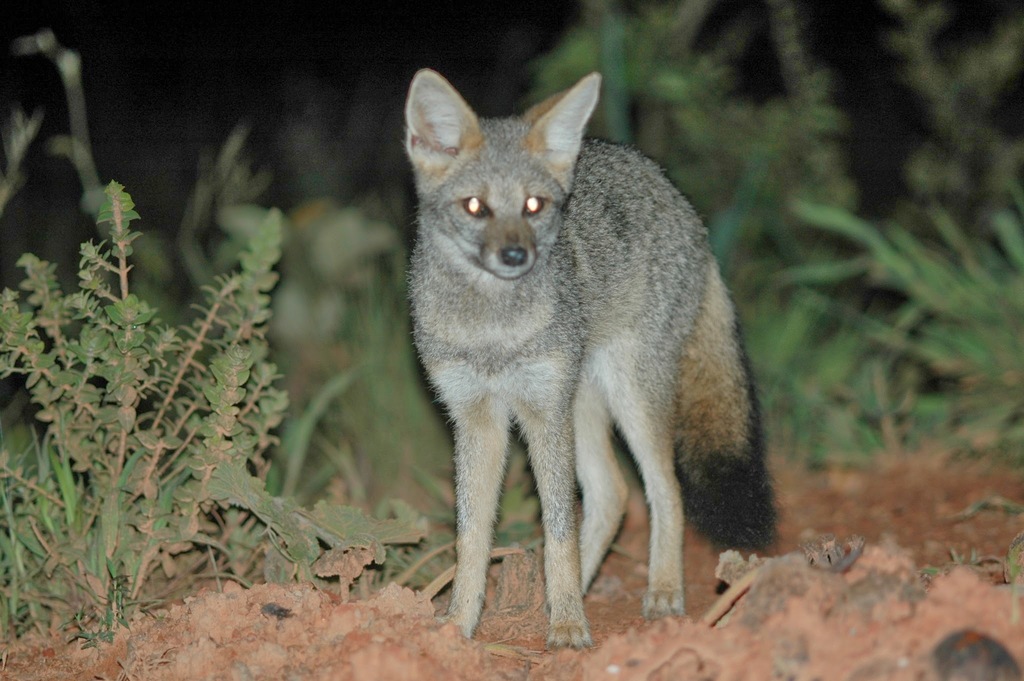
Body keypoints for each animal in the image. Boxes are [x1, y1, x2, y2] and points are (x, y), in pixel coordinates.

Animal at [403, 68, 776, 649]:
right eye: (475, 207)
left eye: (534, 206)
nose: (516, 255)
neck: (494, 333)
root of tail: (679, 198)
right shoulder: (475, 418)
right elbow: (471, 536)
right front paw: (460, 623)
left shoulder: (542, 411)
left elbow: (558, 526)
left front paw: (567, 625)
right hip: (580, 402)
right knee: (613, 493)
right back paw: (571, 589)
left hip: (627, 397)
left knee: (664, 488)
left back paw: (661, 591)